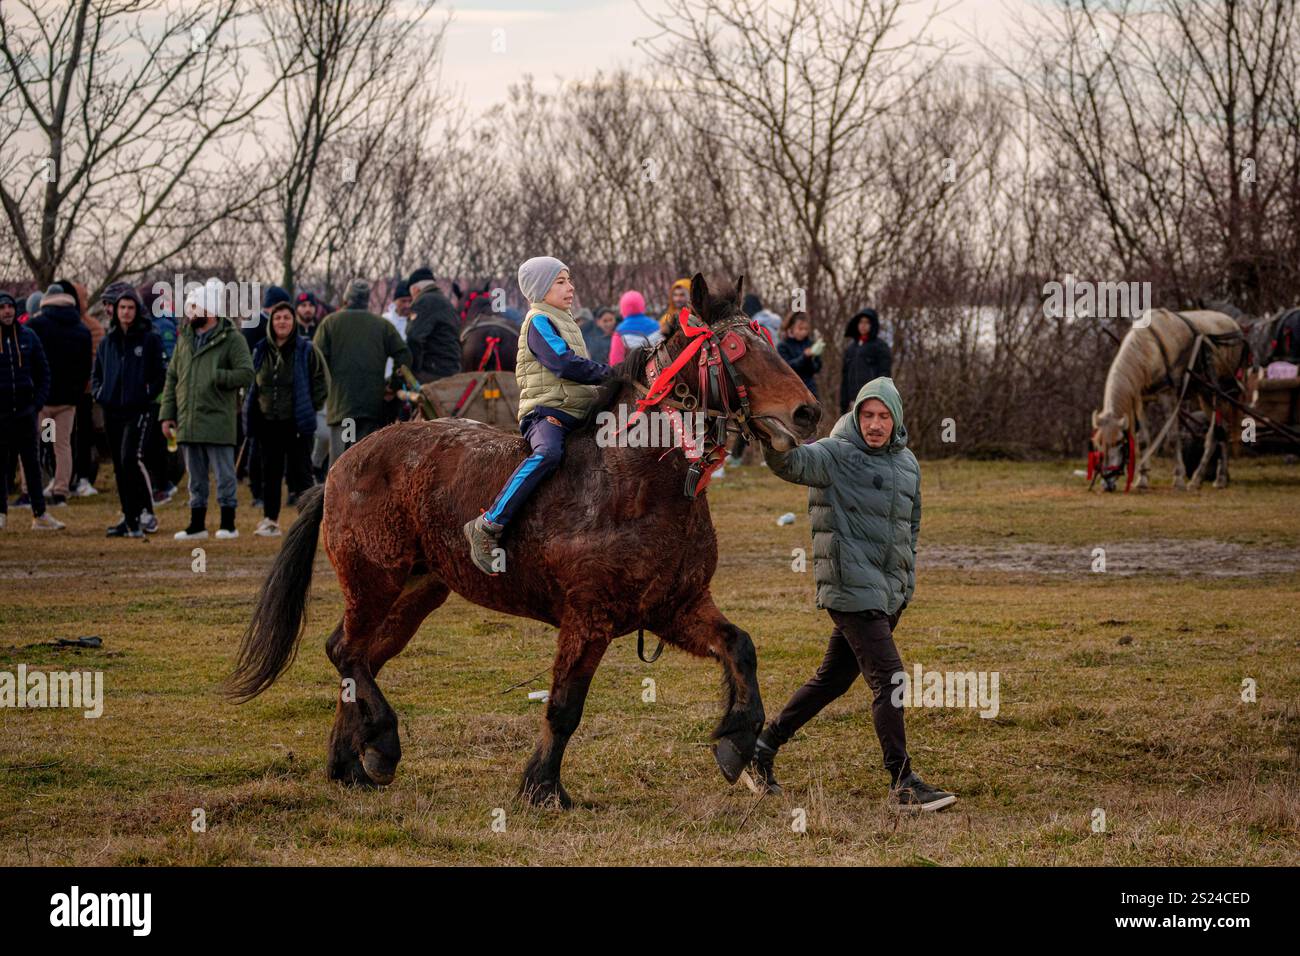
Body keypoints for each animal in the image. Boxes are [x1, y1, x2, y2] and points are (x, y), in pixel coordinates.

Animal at [228, 274, 821, 808]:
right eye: (738, 348)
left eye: (770, 341)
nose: (808, 411)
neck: (633, 479)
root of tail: (344, 462)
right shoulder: (588, 618)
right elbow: (564, 707)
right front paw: (542, 786)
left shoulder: (675, 606)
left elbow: (740, 647)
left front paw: (738, 741)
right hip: (373, 582)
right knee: (345, 651)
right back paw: (384, 745)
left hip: (415, 593)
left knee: (359, 658)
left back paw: (350, 760)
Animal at [1090, 309, 1246, 491]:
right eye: (1098, 445)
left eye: (1119, 443)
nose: (1107, 483)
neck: (1150, 350)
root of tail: (1234, 324)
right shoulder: (1142, 401)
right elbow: (1143, 441)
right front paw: (1142, 479)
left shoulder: (1168, 396)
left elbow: (1172, 438)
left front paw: (1178, 479)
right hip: (1205, 395)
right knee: (1222, 431)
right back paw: (1218, 479)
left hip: (1219, 392)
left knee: (1216, 433)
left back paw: (1201, 478)